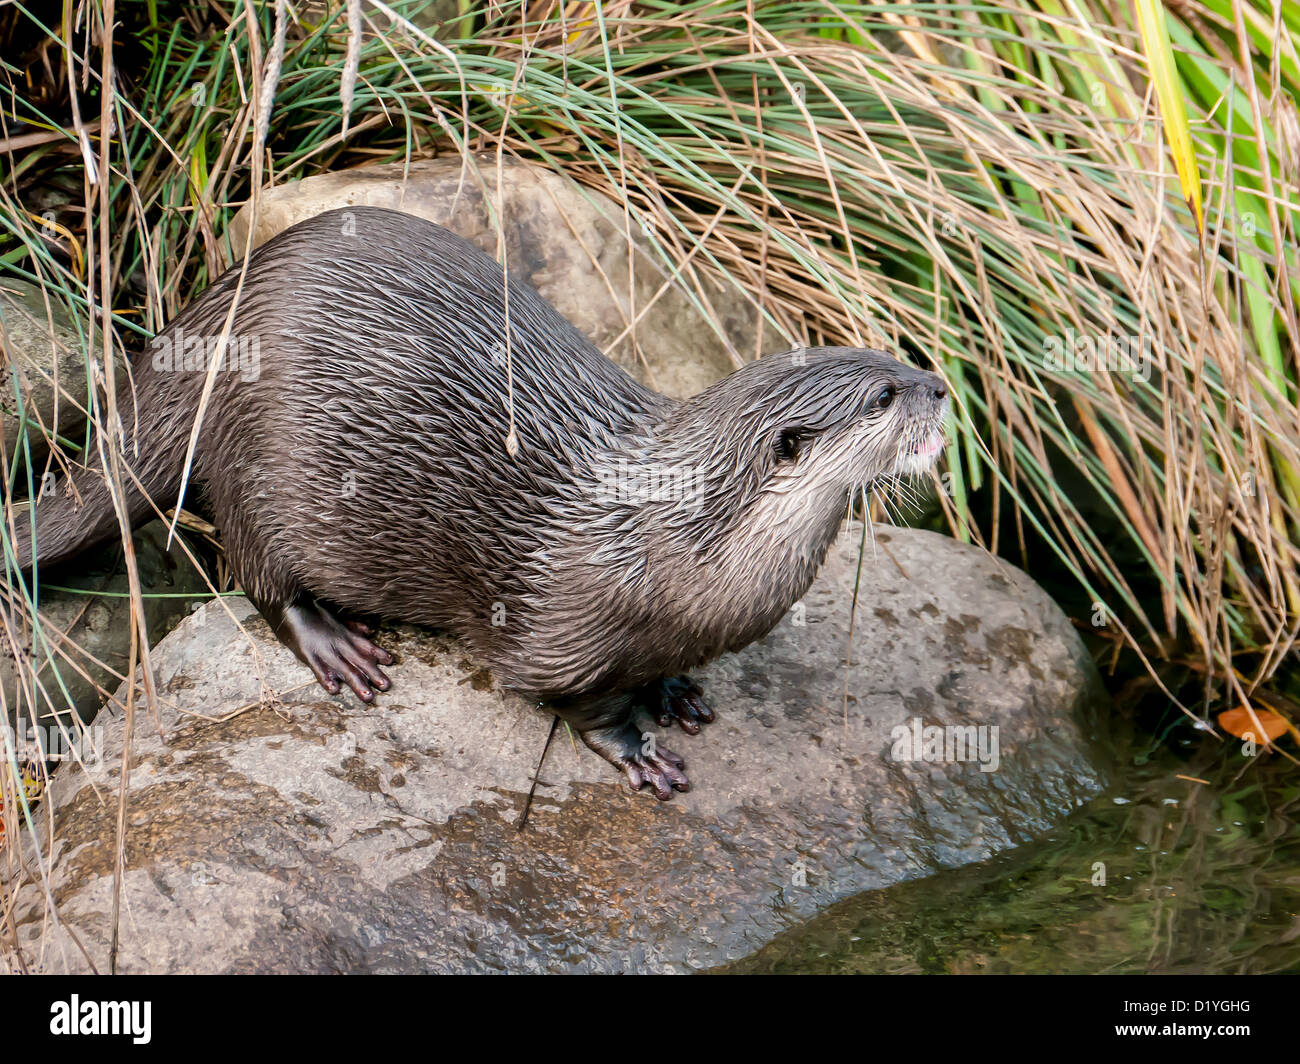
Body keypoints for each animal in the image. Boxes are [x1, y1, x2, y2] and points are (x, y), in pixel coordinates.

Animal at [12, 206, 949, 799]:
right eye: (883, 396)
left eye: (894, 358)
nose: (940, 386)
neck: (679, 540)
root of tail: (218, 305)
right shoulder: (566, 634)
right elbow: (579, 704)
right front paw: (638, 751)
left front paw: (678, 689)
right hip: (259, 462)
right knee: (253, 568)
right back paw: (336, 645)